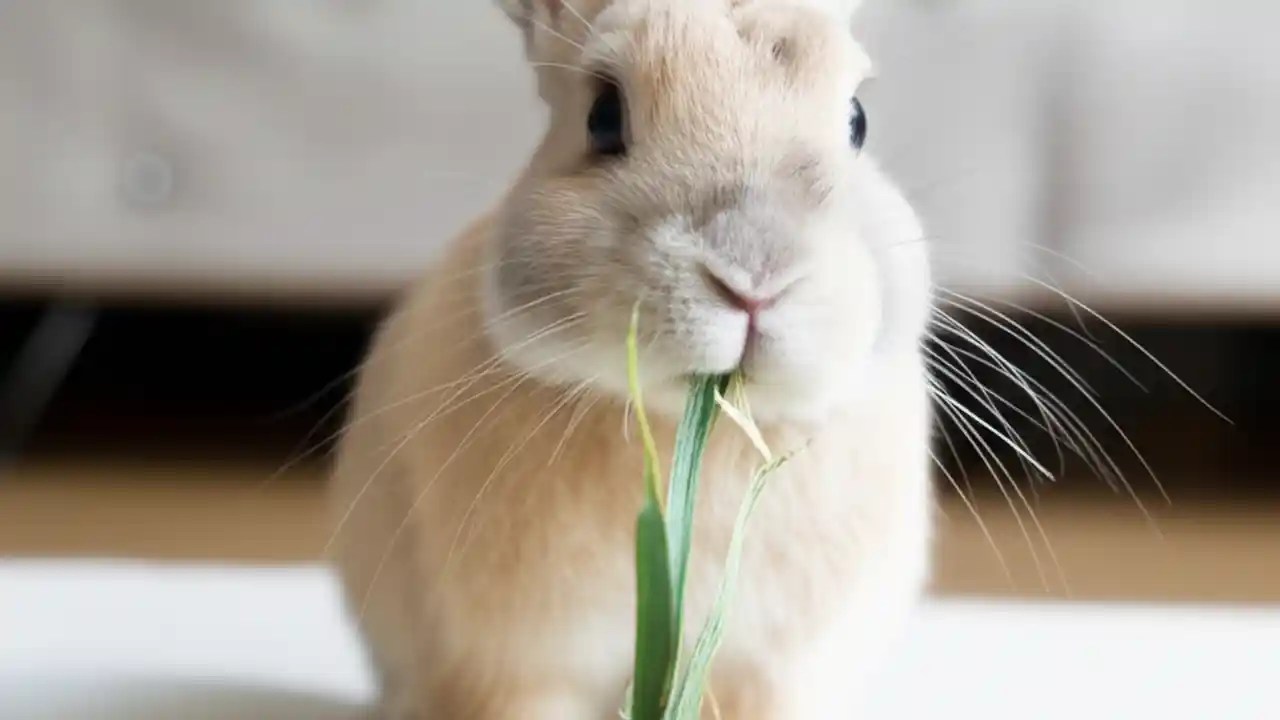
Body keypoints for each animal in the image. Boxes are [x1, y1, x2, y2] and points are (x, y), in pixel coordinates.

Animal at [329, 1, 934, 717]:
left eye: (857, 119)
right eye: (603, 115)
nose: (754, 274)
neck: (685, 428)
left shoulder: (767, 672)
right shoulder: (513, 669)